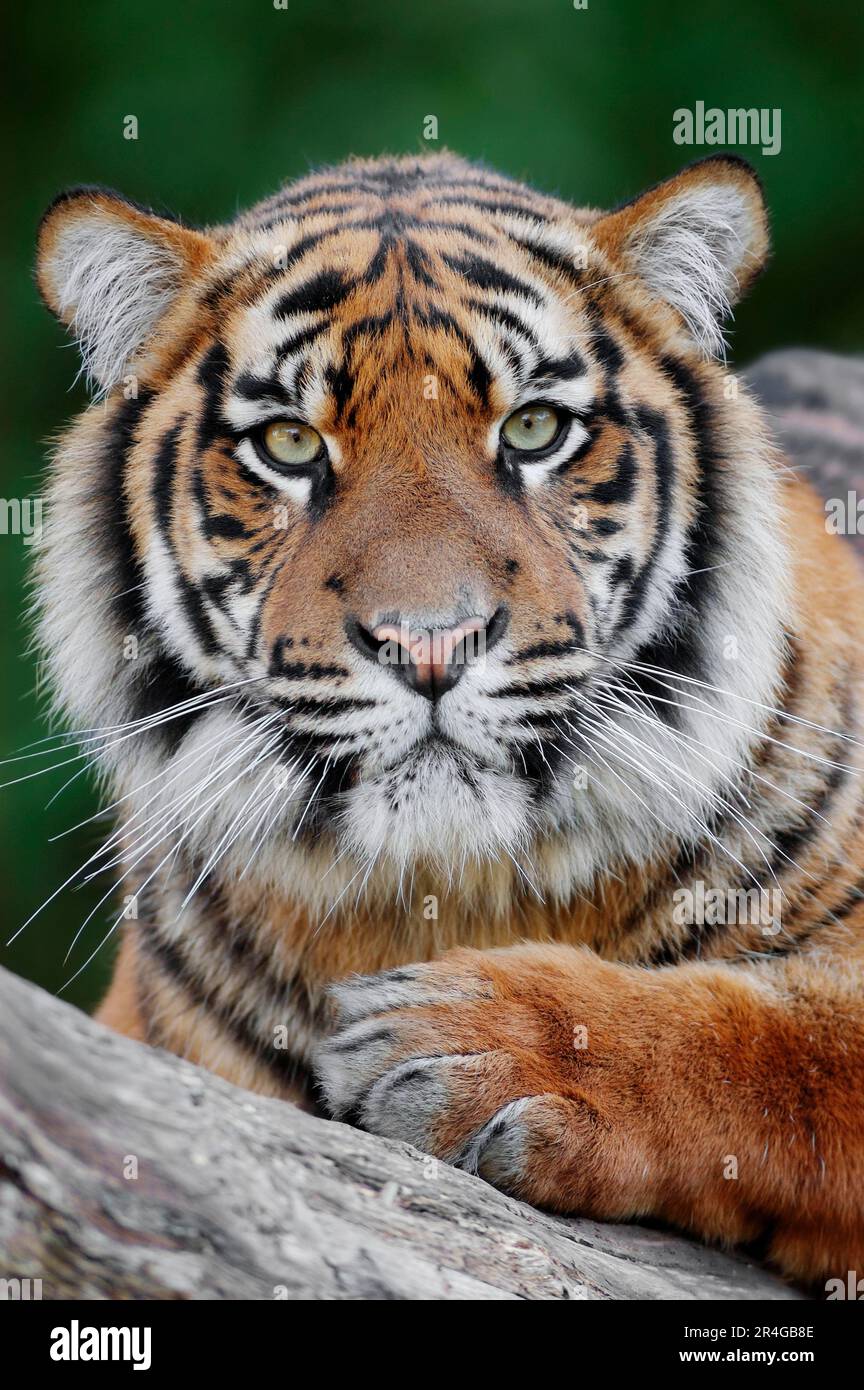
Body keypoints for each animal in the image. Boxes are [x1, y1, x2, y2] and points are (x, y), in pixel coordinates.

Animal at [34, 151, 864, 1289]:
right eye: (289, 444)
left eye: (534, 429)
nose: (431, 643)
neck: (445, 891)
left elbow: (782, 1043)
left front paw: (479, 1049)